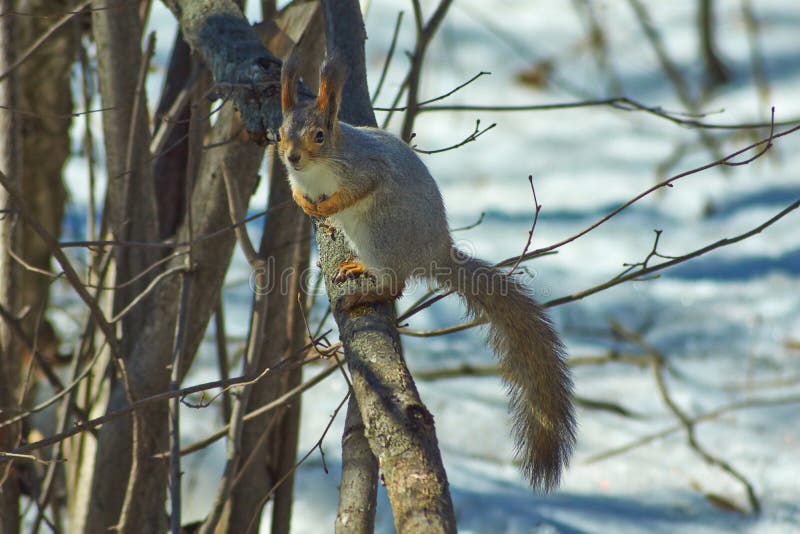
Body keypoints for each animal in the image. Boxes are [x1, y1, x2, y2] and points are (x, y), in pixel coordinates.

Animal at [277, 54, 576, 492]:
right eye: (281, 133)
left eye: (318, 135)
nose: (292, 158)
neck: (320, 168)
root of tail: (435, 253)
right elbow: (297, 191)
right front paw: (303, 201)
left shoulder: (366, 169)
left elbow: (355, 190)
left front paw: (327, 206)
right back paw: (355, 265)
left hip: (381, 231)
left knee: (396, 284)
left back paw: (366, 291)